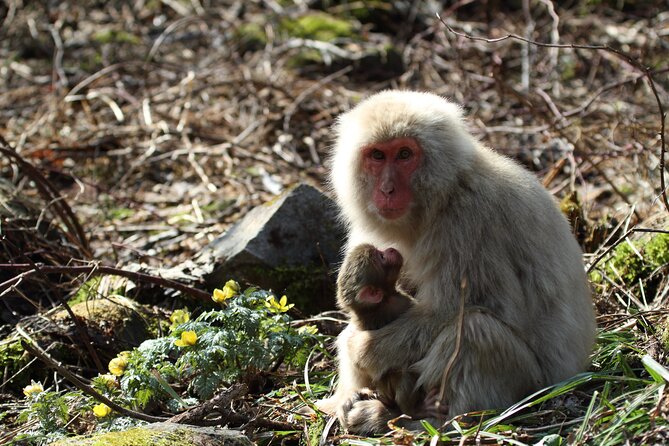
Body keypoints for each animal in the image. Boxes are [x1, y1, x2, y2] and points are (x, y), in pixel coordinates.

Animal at [317, 90, 596, 434]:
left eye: (405, 154)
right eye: (378, 156)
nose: (387, 190)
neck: (446, 193)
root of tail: (574, 375)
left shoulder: (468, 222)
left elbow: (462, 309)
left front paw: (361, 349)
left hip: (535, 385)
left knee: (475, 330)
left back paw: (439, 422)